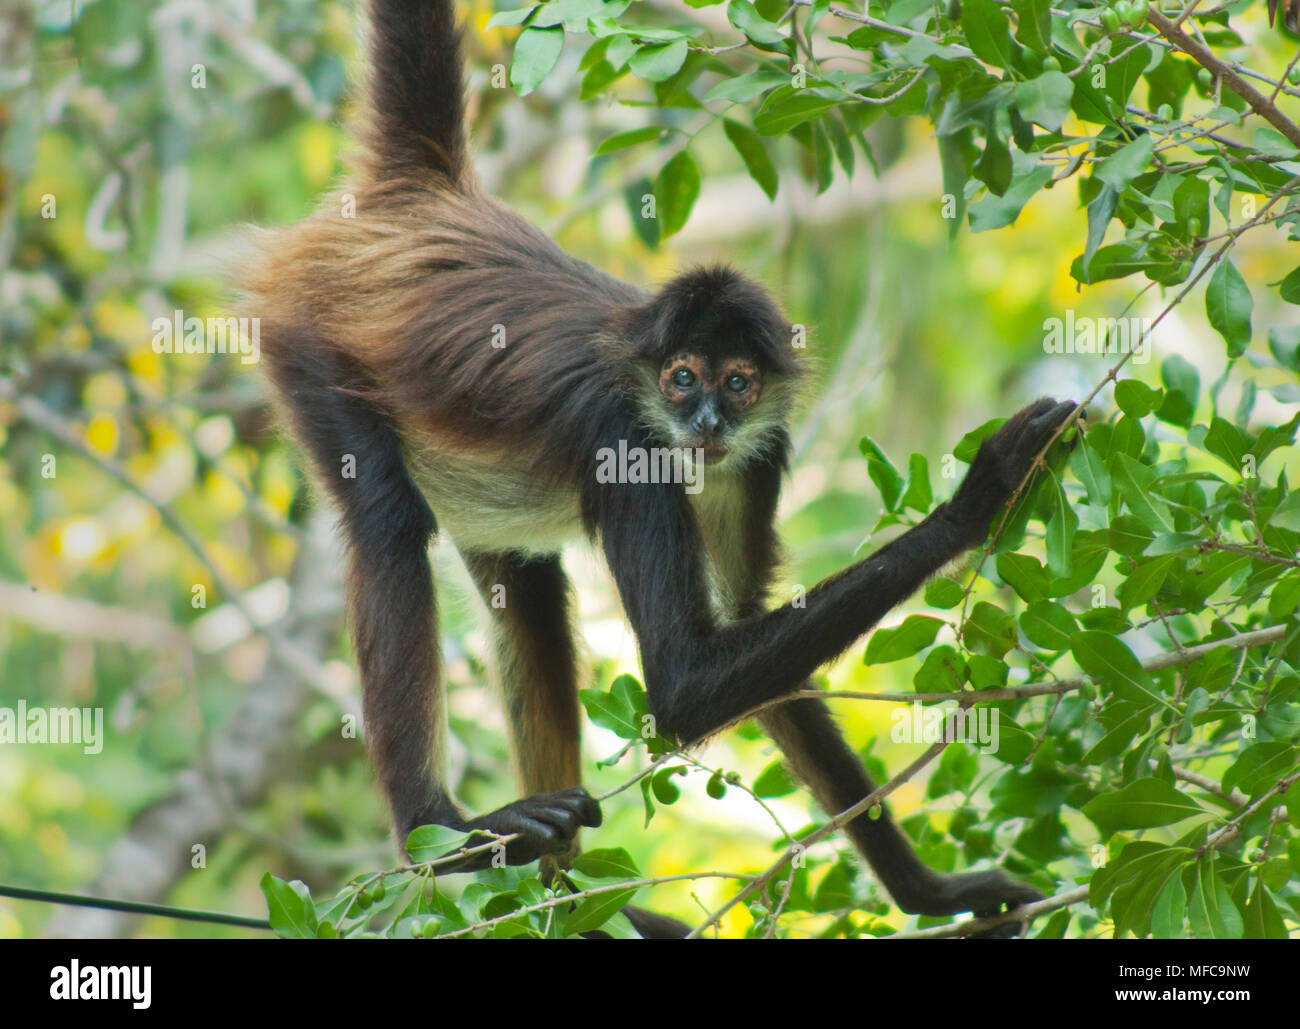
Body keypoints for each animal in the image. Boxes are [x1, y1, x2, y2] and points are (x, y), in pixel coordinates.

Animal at [238, 0, 1077, 936]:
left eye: (737, 383)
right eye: (681, 377)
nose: (704, 421)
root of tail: (421, 208)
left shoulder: (760, 450)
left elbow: (746, 631)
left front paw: (930, 892)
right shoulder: (626, 439)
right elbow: (683, 683)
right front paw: (981, 495)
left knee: (527, 590)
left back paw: (554, 893)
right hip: (310, 345)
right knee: (389, 522)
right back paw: (446, 836)